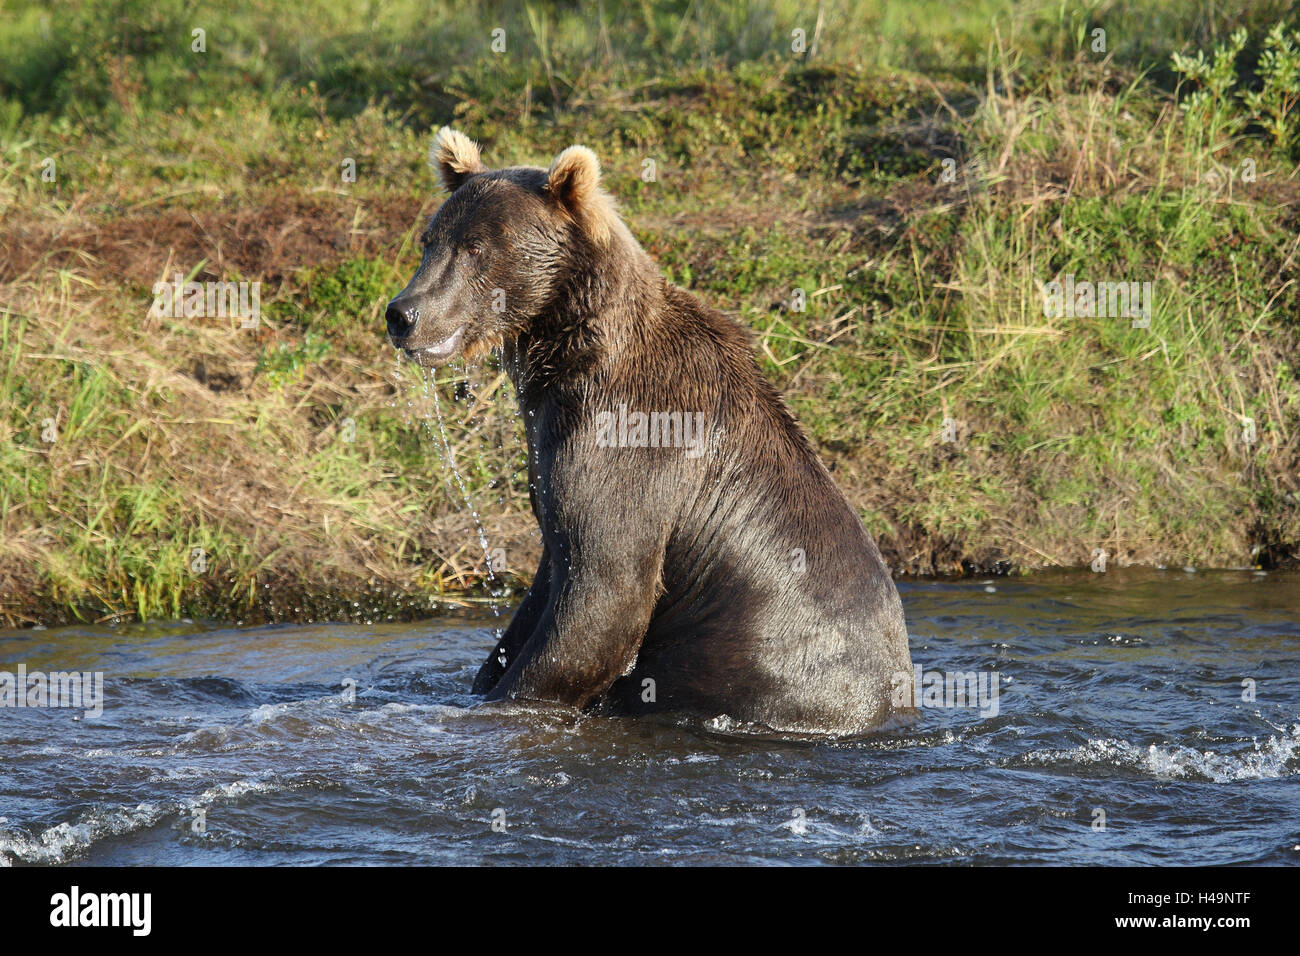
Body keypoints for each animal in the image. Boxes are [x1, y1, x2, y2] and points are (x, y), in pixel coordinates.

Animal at [385, 127, 913, 735]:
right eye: (429, 240)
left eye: (477, 247)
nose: (403, 313)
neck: (569, 352)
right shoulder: (552, 449)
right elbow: (550, 578)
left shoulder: (632, 445)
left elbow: (604, 596)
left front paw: (506, 699)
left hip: (753, 673)